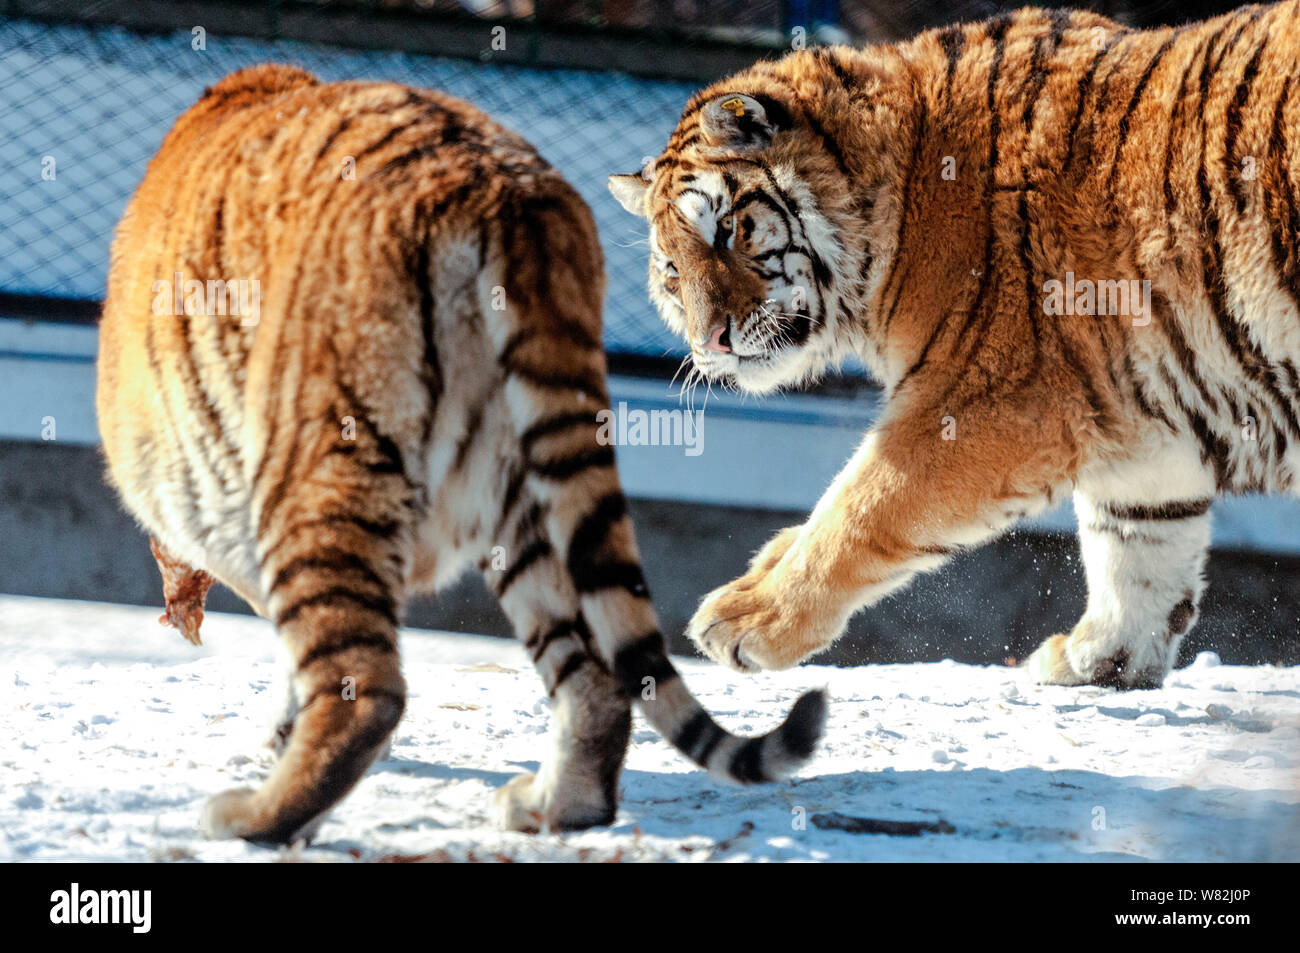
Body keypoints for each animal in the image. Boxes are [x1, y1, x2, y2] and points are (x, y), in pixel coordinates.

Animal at [95, 64, 825, 845]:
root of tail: (505, 188)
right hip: (534, 487)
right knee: (596, 671)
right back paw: (555, 808)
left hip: (325, 466)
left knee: (368, 687)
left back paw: (251, 816)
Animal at [609, 1, 1300, 690]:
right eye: (671, 270)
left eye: (726, 229)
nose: (710, 341)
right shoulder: (1142, 418)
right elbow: (1137, 544)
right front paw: (1101, 660)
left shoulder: (986, 401)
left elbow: (861, 507)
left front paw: (750, 620)